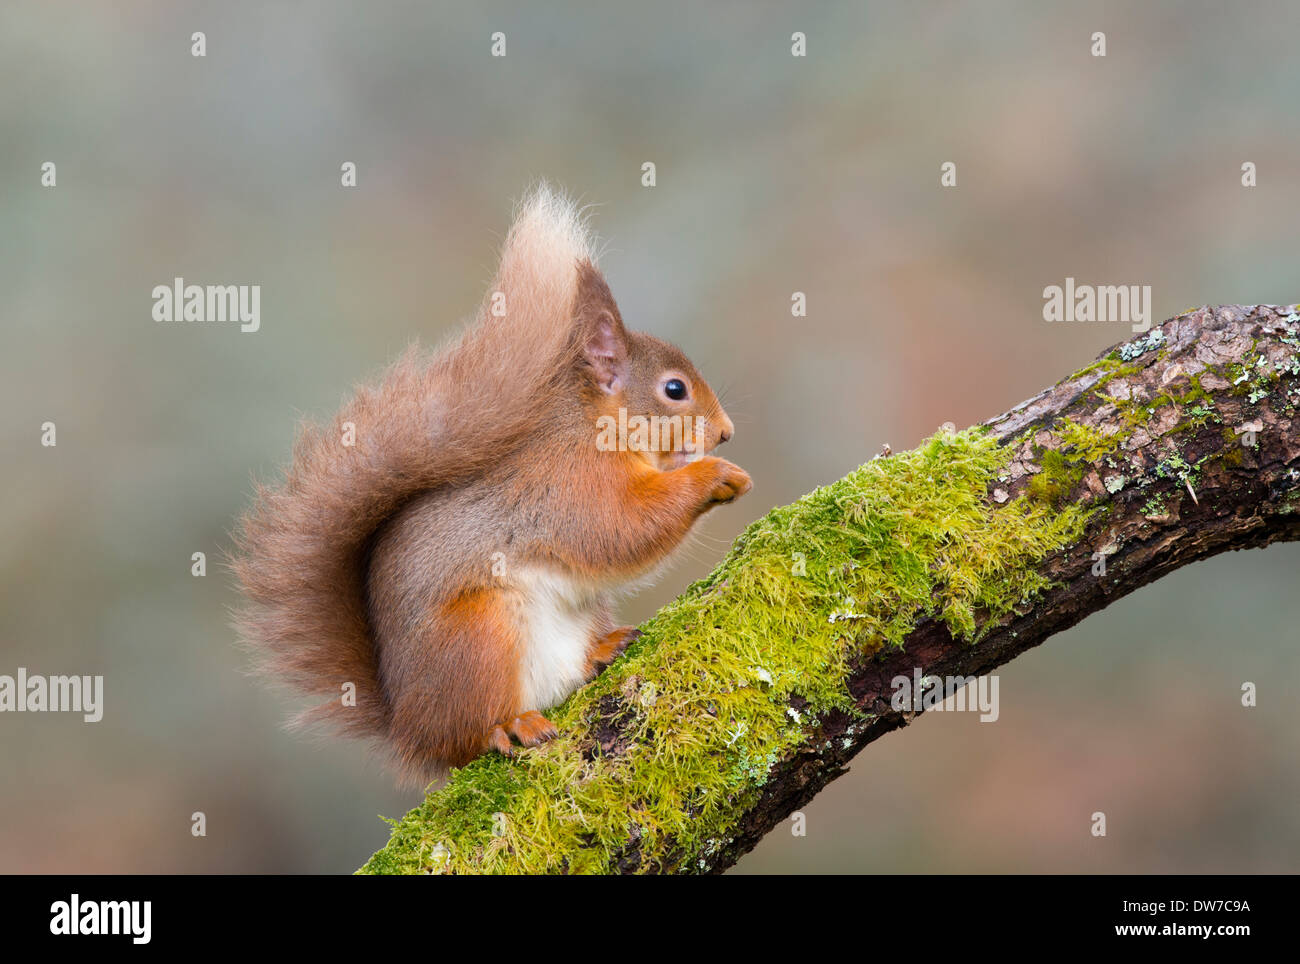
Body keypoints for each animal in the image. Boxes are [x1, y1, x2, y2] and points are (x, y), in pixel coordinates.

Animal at [232, 184, 751, 786]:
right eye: (674, 390)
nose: (726, 433)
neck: (594, 425)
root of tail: (409, 728)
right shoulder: (569, 483)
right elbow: (619, 529)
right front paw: (715, 477)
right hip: (478, 635)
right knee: (470, 735)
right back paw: (509, 726)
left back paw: (602, 648)